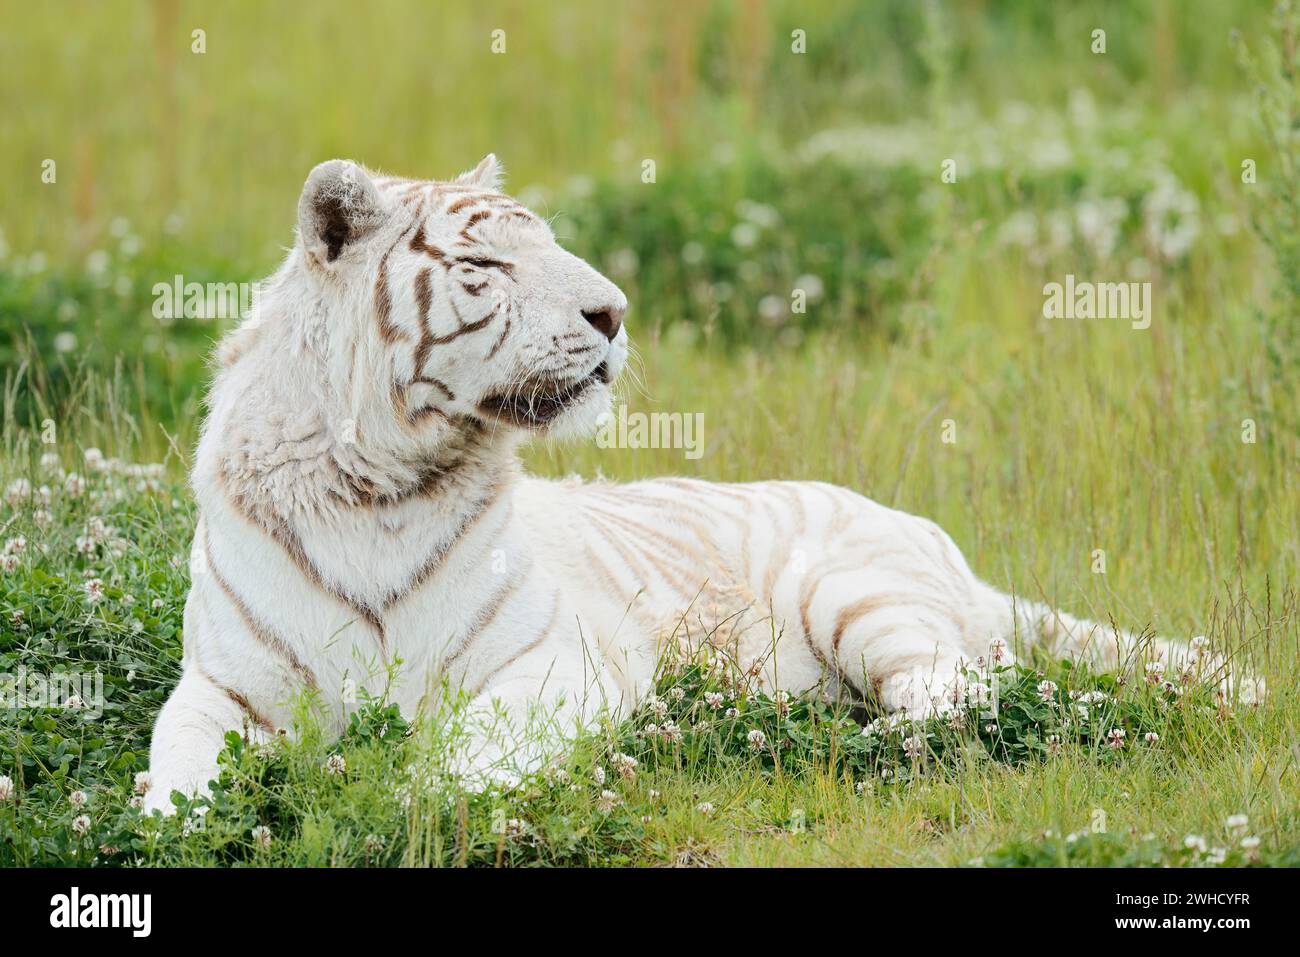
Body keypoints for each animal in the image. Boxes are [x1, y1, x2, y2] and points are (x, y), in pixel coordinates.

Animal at [143, 156, 1256, 813]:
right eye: (486, 266)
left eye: (549, 243)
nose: (614, 311)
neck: (378, 486)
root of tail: (950, 551)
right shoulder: (223, 685)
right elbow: (176, 772)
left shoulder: (557, 664)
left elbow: (461, 763)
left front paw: (403, 801)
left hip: (857, 588)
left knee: (963, 693)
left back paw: (830, 738)